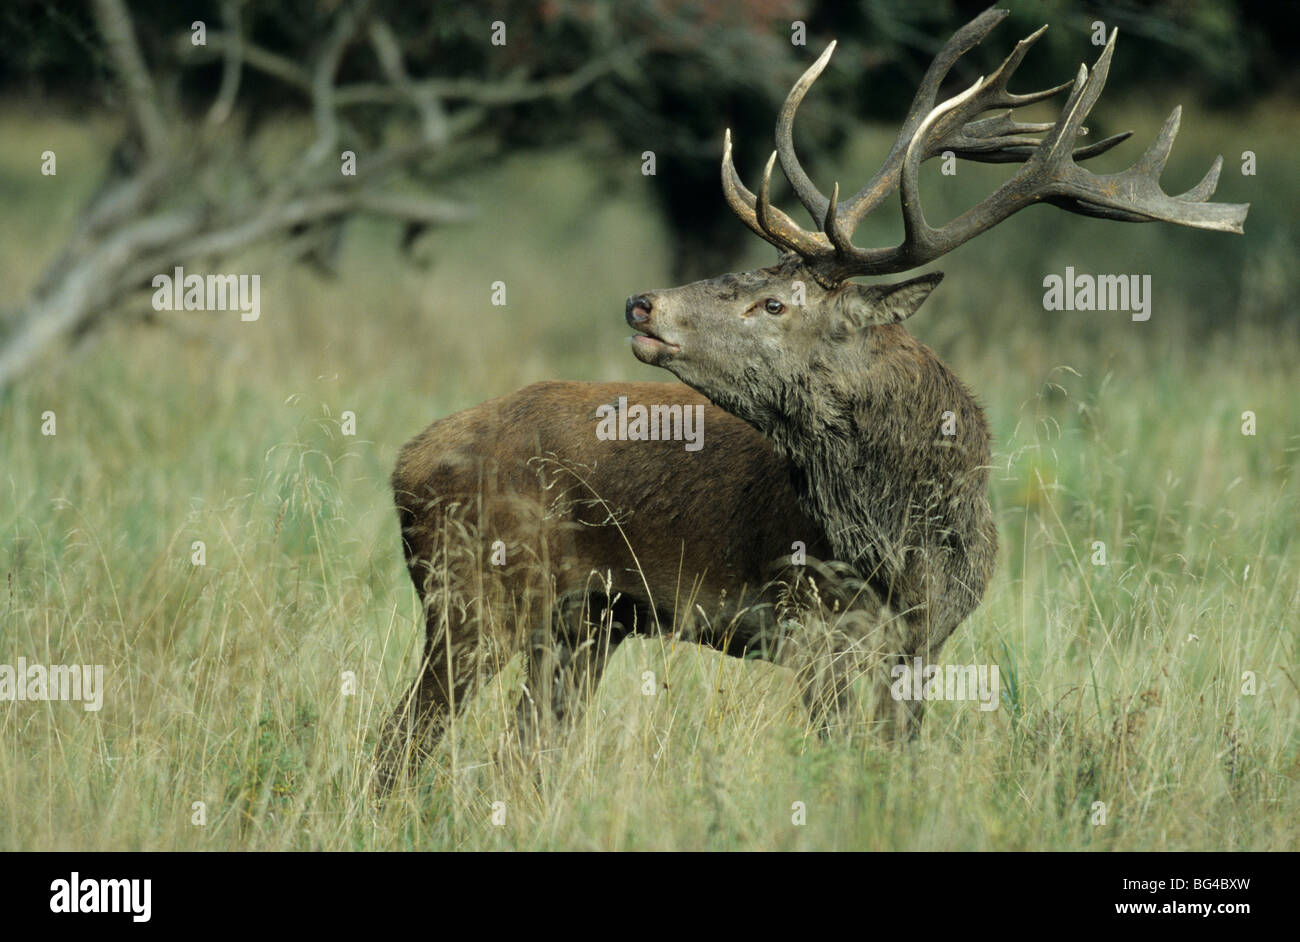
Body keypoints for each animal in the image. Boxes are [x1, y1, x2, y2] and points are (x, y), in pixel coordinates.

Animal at [375, 7, 1247, 792]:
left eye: (773, 301)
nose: (641, 304)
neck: (904, 547)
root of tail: (404, 462)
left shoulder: (924, 643)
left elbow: (896, 761)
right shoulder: (810, 625)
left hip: (582, 623)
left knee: (523, 751)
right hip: (472, 591)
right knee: (400, 740)